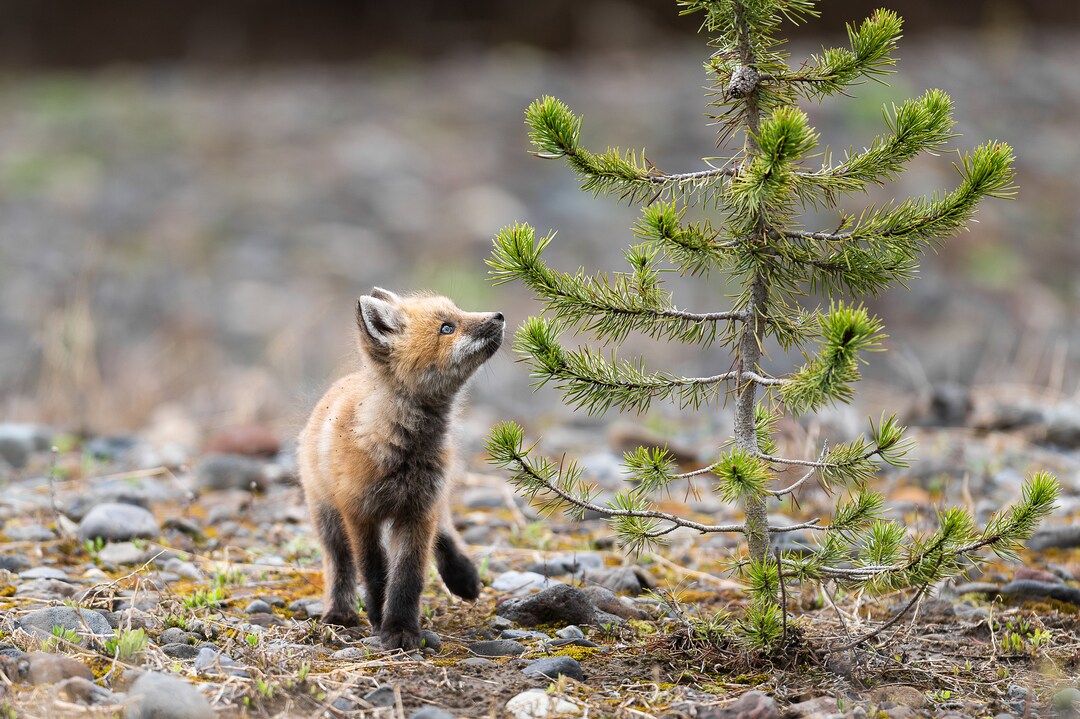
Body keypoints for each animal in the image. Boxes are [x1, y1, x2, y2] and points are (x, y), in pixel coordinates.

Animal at [298, 287, 504, 650]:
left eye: (457, 311)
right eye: (447, 328)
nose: (499, 316)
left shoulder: (418, 509)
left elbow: (409, 574)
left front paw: (401, 629)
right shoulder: (359, 513)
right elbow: (373, 571)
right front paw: (380, 618)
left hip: (431, 502)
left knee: (445, 531)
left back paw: (463, 577)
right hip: (328, 518)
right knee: (340, 564)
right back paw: (339, 613)